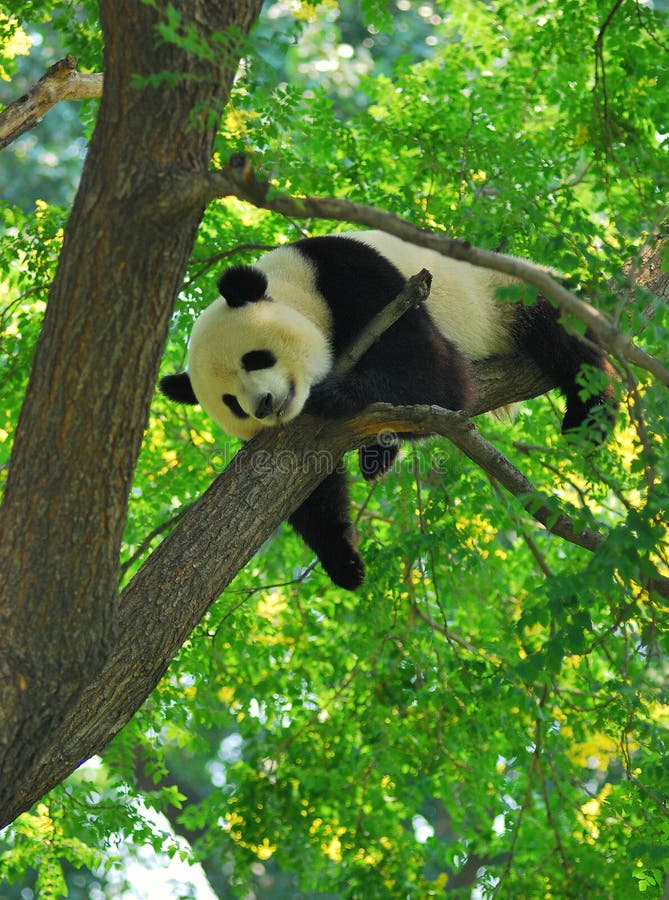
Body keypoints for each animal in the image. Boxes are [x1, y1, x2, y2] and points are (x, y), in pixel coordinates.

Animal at [160, 230, 615, 589]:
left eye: (255, 359)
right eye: (232, 403)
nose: (265, 404)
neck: (291, 281)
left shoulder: (353, 276)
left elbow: (440, 375)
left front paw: (337, 393)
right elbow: (311, 490)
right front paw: (344, 562)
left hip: (504, 292)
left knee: (563, 335)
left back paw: (589, 418)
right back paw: (379, 454)